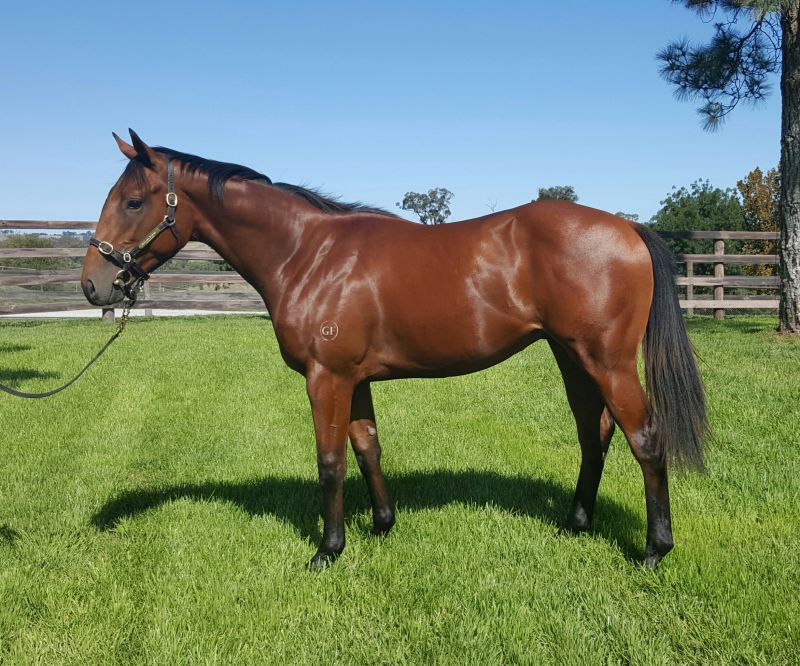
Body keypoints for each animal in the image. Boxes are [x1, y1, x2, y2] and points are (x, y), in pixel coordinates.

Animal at [81, 130, 708, 570]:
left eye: (133, 201)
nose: (93, 285)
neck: (308, 254)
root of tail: (629, 229)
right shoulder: (354, 379)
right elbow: (367, 449)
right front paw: (382, 524)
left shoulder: (326, 377)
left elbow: (330, 462)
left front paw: (327, 550)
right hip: (570, 356)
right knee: (593, 432)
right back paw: (575, 523)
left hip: (605, 360)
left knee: (645, 439)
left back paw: (655, 549)